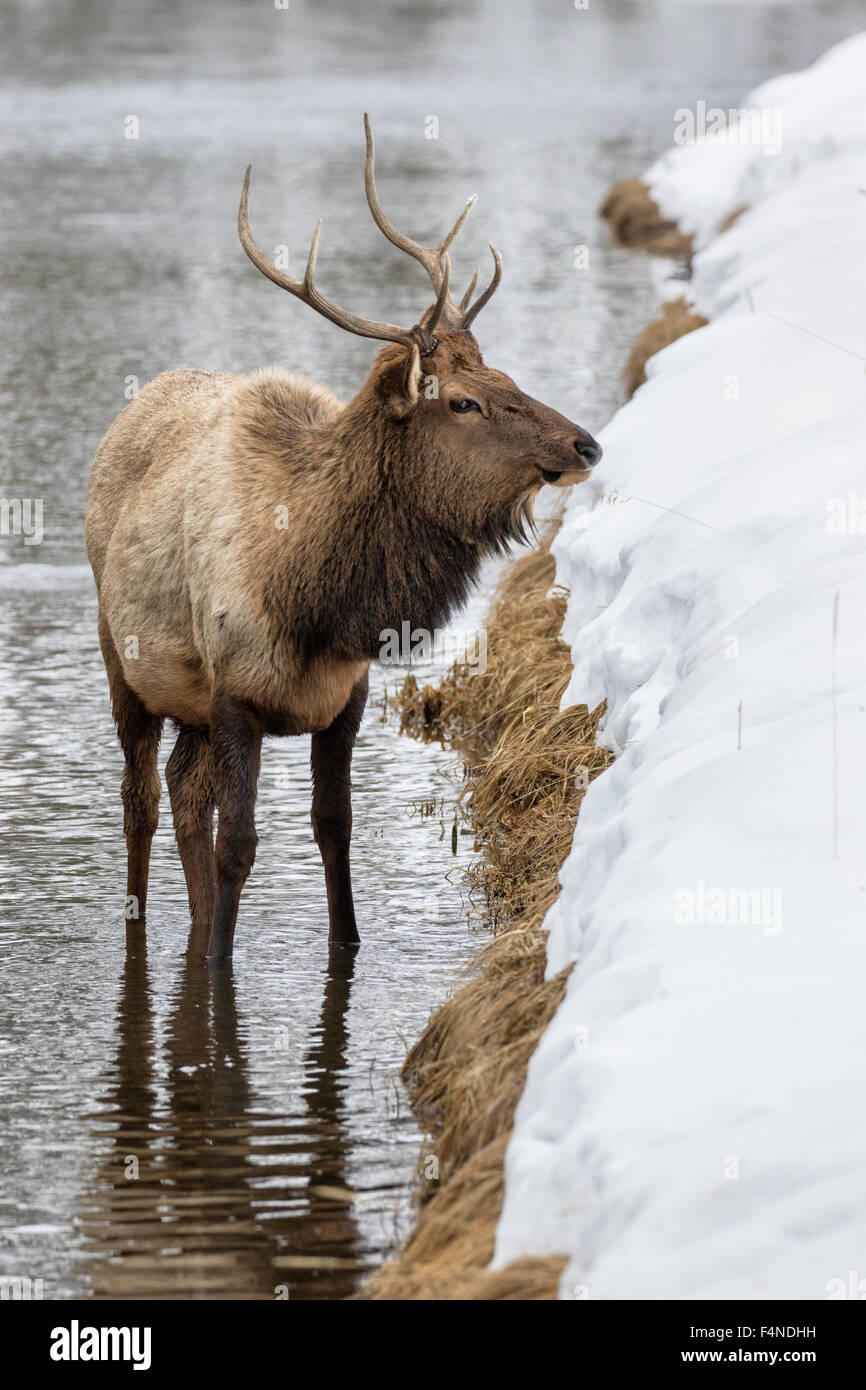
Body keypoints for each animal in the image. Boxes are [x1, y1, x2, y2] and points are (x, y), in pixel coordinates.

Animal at [85, 117, 602, 963]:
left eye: (506, 379)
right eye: (462, 401)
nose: (585, 443)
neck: (316, 602)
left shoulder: (345, 698)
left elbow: (334, 828)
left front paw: (345, 944)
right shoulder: (235, 693)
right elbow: (240, 843)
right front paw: (222, 960)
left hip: (187, 702)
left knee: (185, 793)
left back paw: (193, 926)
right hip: (123, 661)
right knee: (142, 799)